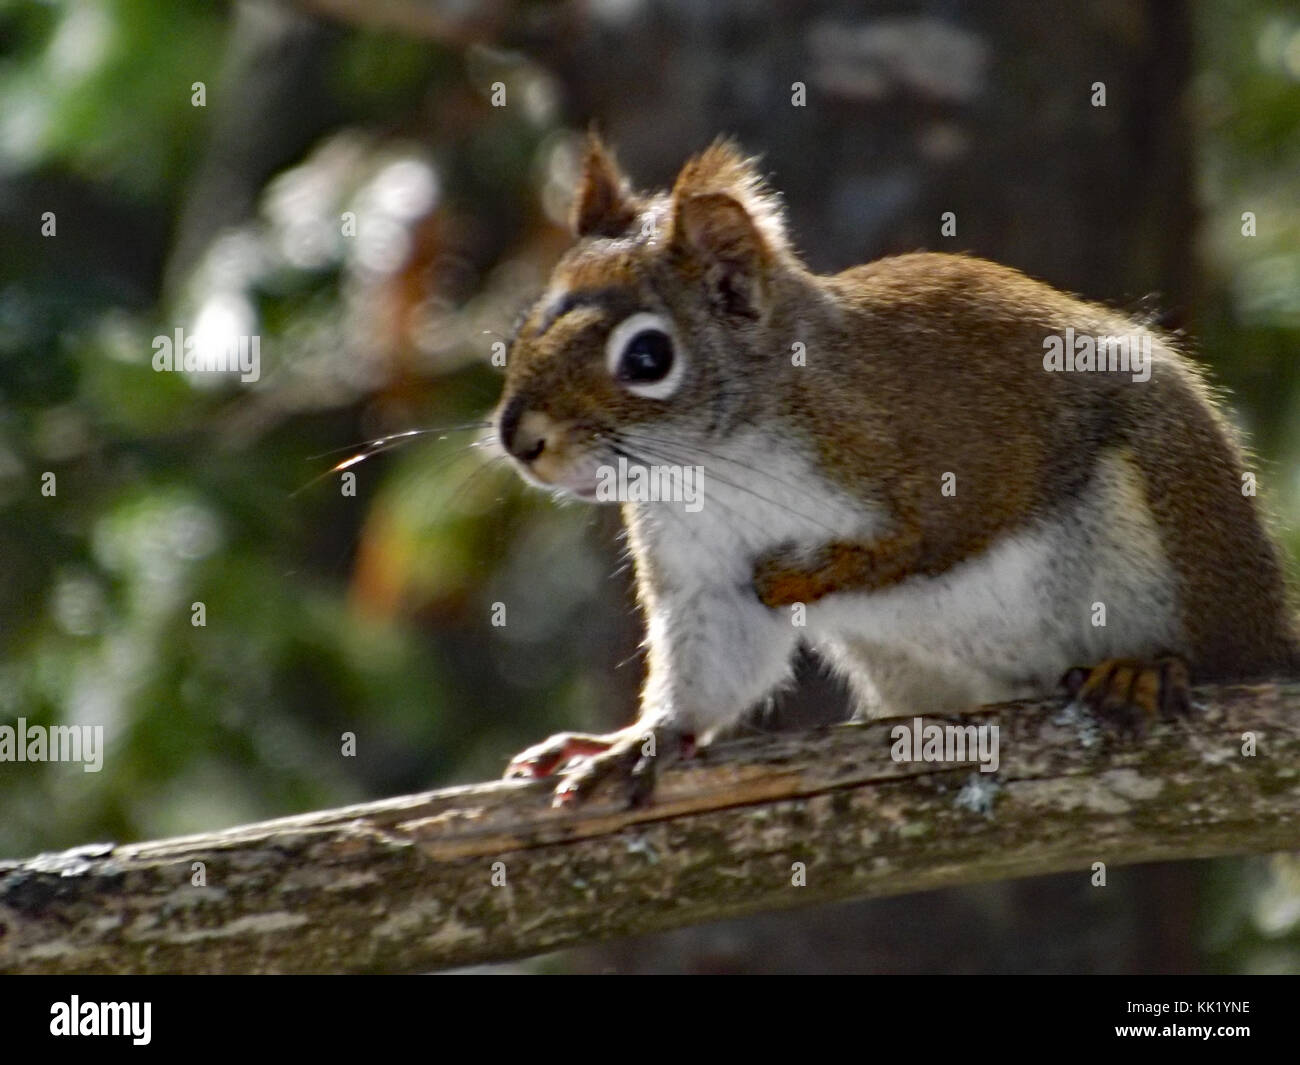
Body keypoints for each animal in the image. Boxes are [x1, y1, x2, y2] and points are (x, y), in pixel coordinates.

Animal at [494, 134, 1300, 806]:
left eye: (648, 357)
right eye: (529, 320)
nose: (518, 439)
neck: (718, 462)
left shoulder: (947, 444)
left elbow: (938, 535)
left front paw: (809, 574)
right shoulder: (702, 573)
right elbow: (712, 663)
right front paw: (639, 741)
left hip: (1169, 509)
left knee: (1214, 651)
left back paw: (1149, 669)